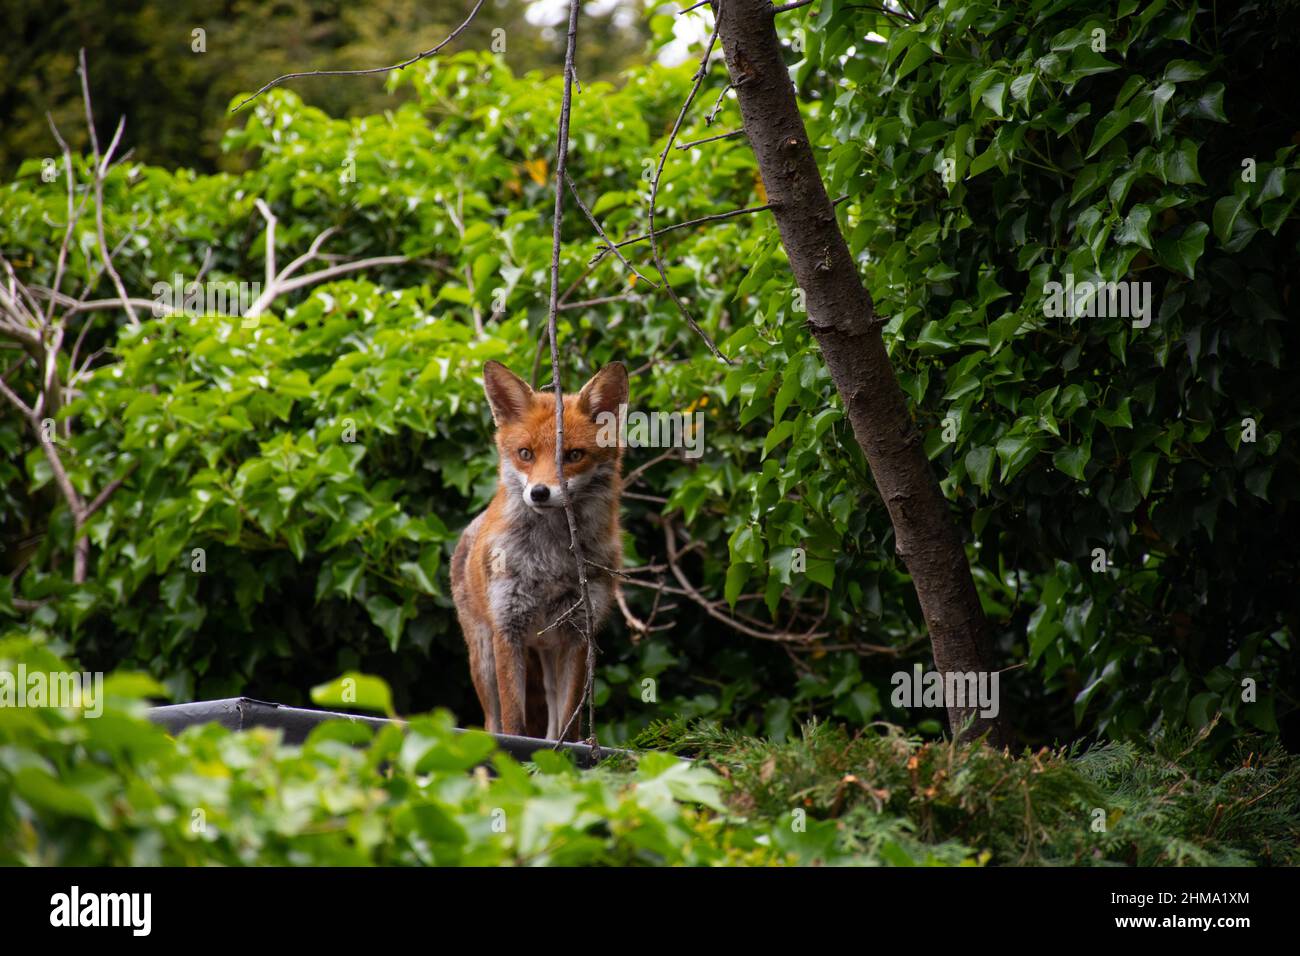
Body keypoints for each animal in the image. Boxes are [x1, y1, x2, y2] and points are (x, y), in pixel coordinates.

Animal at [451, 360, 629, 741]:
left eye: (573, 455)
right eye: (525, 454)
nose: (540, 493)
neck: (550, 560)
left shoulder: (578, 633)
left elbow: (569, 722)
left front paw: (564, 751)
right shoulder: (508, 629)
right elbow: (514, 722)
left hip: (549, 649)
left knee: (551, 706)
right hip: (483, 657)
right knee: (492, 719)